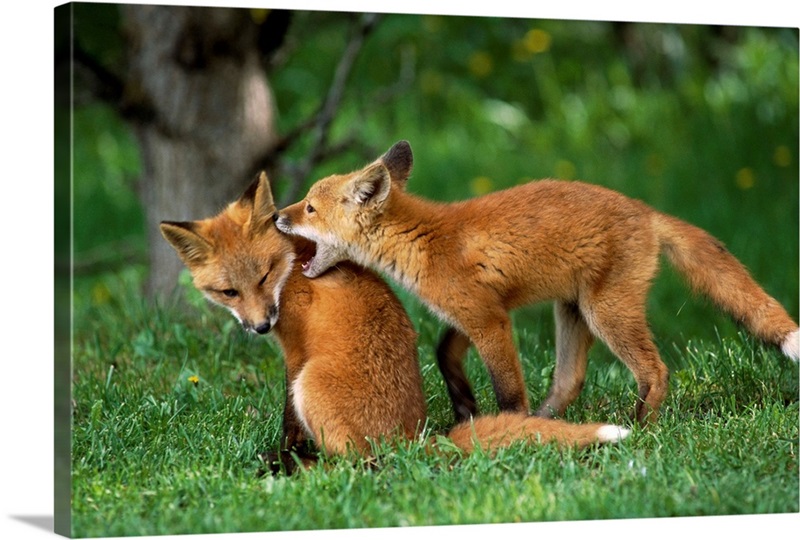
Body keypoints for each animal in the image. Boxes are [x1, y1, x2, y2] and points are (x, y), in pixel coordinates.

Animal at [160, 172, 630, 474]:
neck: (292, 271)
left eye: (263, 276)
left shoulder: (295, 356)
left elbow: (288, 423)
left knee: (361, 464)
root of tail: (411, 440)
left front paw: (285, 455)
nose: (259, 326)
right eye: (229, 292)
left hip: (312, 384)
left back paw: (309, 466)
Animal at [275, 140, 800, 426]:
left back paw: (638, 428)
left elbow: (508, 390)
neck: (422, 241)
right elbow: (444, 354)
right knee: (570, 380)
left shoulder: (490, 321)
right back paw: (551, 422)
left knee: (656, 372)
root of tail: (647, 212)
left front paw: (506, 427)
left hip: (606, 313)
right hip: (572, 312)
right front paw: (465, 406)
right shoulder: (470, 314)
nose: (277, 216)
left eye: (309, 208)